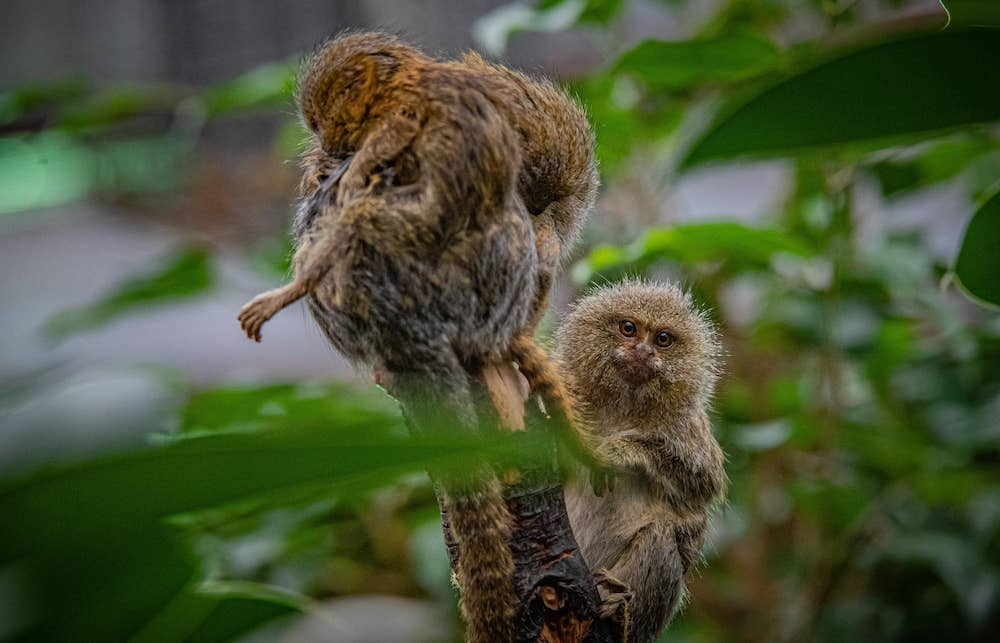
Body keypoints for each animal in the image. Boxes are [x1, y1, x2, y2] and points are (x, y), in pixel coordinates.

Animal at [555, 279, 727, 643]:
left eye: (662, 339)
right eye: (628, 329)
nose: (643, 351)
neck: (623, 407)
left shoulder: (686, 429)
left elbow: (702, 486)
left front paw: (621, 451)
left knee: (662, 536)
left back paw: (620, 613)